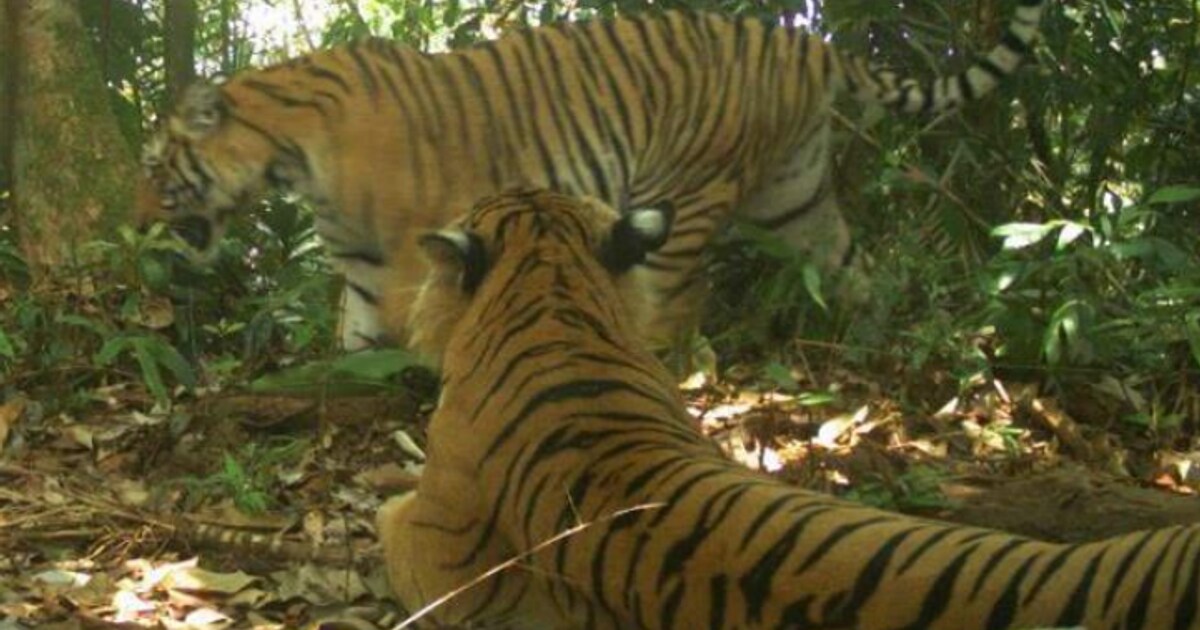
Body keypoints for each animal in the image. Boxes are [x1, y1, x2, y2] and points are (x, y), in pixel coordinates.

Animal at [136, 1, 1047, 354]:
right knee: (859, 272)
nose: (133, 219)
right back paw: (884, 341)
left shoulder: (402, 256)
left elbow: (410, 332)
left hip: (689, 189)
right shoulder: (362, 266)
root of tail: (806, 43)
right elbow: (350, 343)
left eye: (155, 166)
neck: (285, 155)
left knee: (672, 302)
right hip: (795, 200)